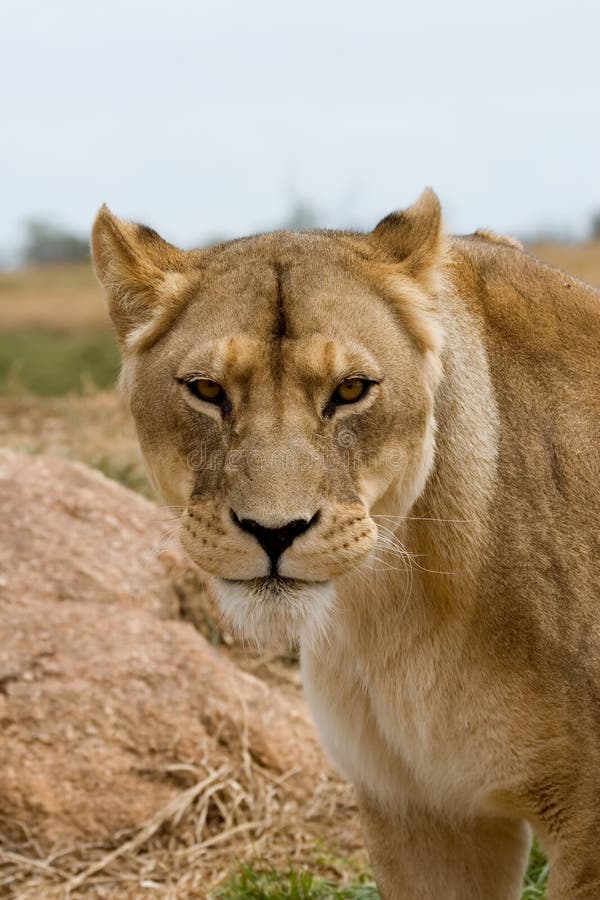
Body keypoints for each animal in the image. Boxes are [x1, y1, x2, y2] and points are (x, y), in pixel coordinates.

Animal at [91, 190, 600, 899]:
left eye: (352, 389)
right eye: (207, 390)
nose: (274, 530)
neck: (393, 609)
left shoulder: (586, 829)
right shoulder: (420, 809)